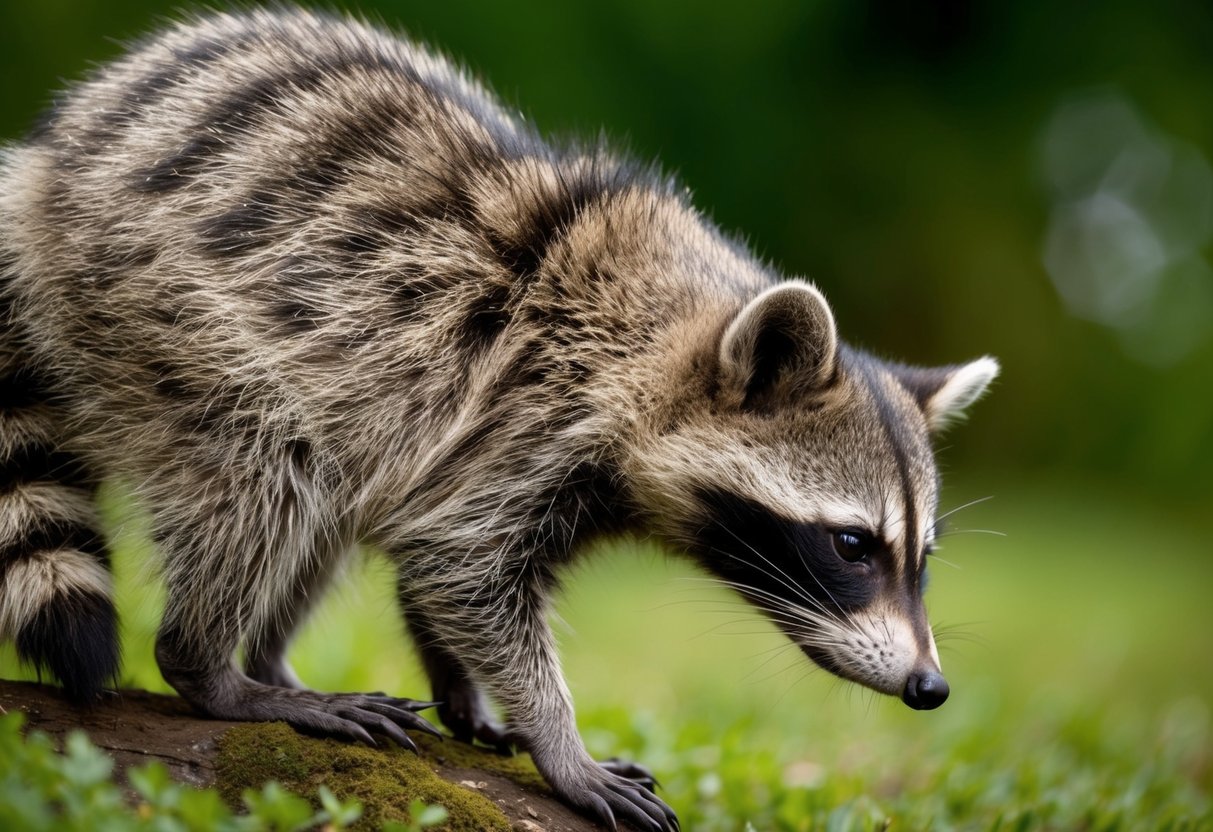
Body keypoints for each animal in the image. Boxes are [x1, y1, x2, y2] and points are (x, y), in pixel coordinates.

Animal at [0, 8, 998, 830]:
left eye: (921, 557)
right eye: (852, 546)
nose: (930, 687)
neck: (656, 328)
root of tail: (41, 174)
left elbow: (429, 562)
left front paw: (465, 693)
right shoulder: (525, 412)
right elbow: (458, 567)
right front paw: (557, 736)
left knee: (324, 497)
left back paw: (270, 658)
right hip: (160, 308)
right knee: (269, 468)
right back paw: (213, 668)